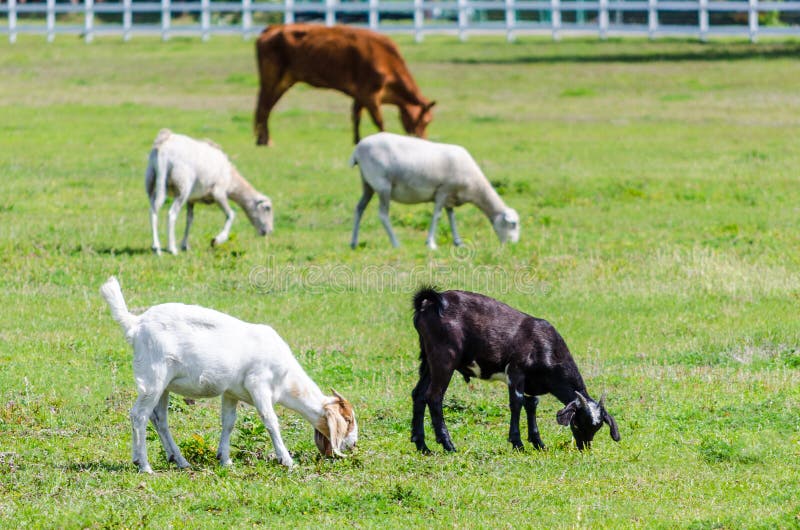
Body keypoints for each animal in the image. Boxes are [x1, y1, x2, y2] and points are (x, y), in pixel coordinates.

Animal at [100, 276, 357, 472]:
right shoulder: (258, 385)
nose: (354, 444)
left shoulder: (232, 392)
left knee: (159, 418)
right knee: (139, 415)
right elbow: (270, 420)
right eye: (347, 420)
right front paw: (287, 460)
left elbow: (229, 423)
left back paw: (180, 460)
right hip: (153, 378)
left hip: (163, 385)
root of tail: (136, 324)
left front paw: (225, 458)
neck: (286, 381)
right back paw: (144, 465)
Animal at [145, 129, 274, 255]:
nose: (269, 231)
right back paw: (172, 248)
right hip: (182, 185)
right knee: (171, 214)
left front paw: (185, 245)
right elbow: (231, 214)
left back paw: (156, 247)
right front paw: (216, 240)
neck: (232, 180)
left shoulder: (191, 199)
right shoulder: (219, 192)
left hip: (152, 181)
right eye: (267, 208)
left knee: (153, 210)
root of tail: (163, 145)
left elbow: (189, 220)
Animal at [254, 23, 436, 146]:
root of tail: (274, 28)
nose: (424, 140)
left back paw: (262, 139)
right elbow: (379, 121)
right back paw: (265, 141)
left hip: (282, 81)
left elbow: (356, 117)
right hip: (272, 78)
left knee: (266, 107)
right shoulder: (370, 94)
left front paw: (357, 140)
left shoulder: (360, 94)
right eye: (424, 121)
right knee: (264, 107)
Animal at [349, 132, 520, 250]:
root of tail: (357, 149)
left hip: (368, 184)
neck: (475, 186)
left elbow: (451, 217)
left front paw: (458, 242)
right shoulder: (443, 191)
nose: (513, 246)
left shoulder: (450, 196)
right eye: (513, 224)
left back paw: (353, 243)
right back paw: (396, 243)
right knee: (383, 215)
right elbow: (437, 216)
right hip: (383, 185)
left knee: (359, 208)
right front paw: (431, 243)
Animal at [411, 287, 620, 453]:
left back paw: (422, 446)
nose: (584, 446)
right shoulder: (516, 372)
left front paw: (538, 444)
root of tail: (431, 300)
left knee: (418, 394)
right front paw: (518, 443)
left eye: (598, 427)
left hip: (427, 359)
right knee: (434, 396)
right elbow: (517, 403)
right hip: (444, 358)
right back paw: (448, 445)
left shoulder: (530, 383)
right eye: (576, 422)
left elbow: (532, 404)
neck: (545, 346)